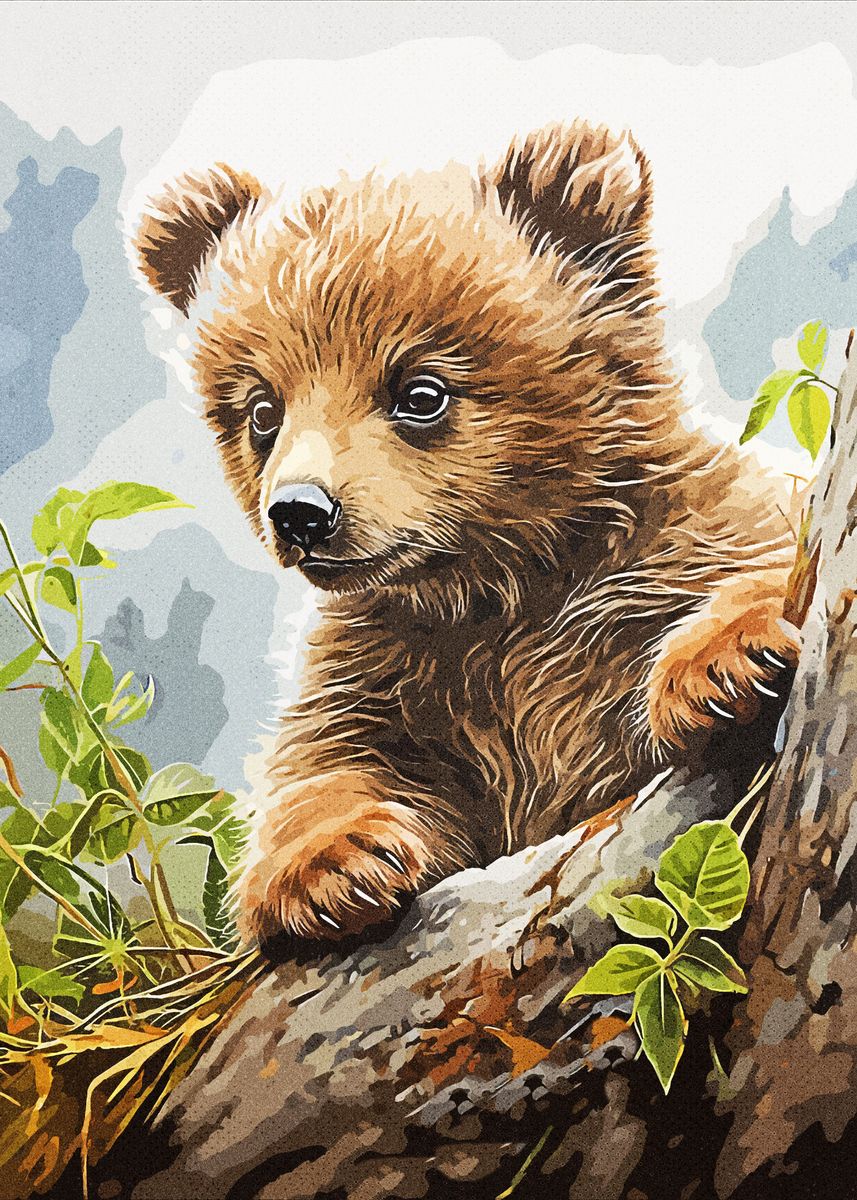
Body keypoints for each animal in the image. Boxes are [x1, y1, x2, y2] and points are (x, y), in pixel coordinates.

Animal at [133, 121, 800, 947]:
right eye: (262, 408)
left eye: (420, 391)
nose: (300, 513)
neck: (495, 580)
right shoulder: (391, 674)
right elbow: (323, 760)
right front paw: (337, 862)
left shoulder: (661, 556)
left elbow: (760, 557)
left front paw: (722, 662)